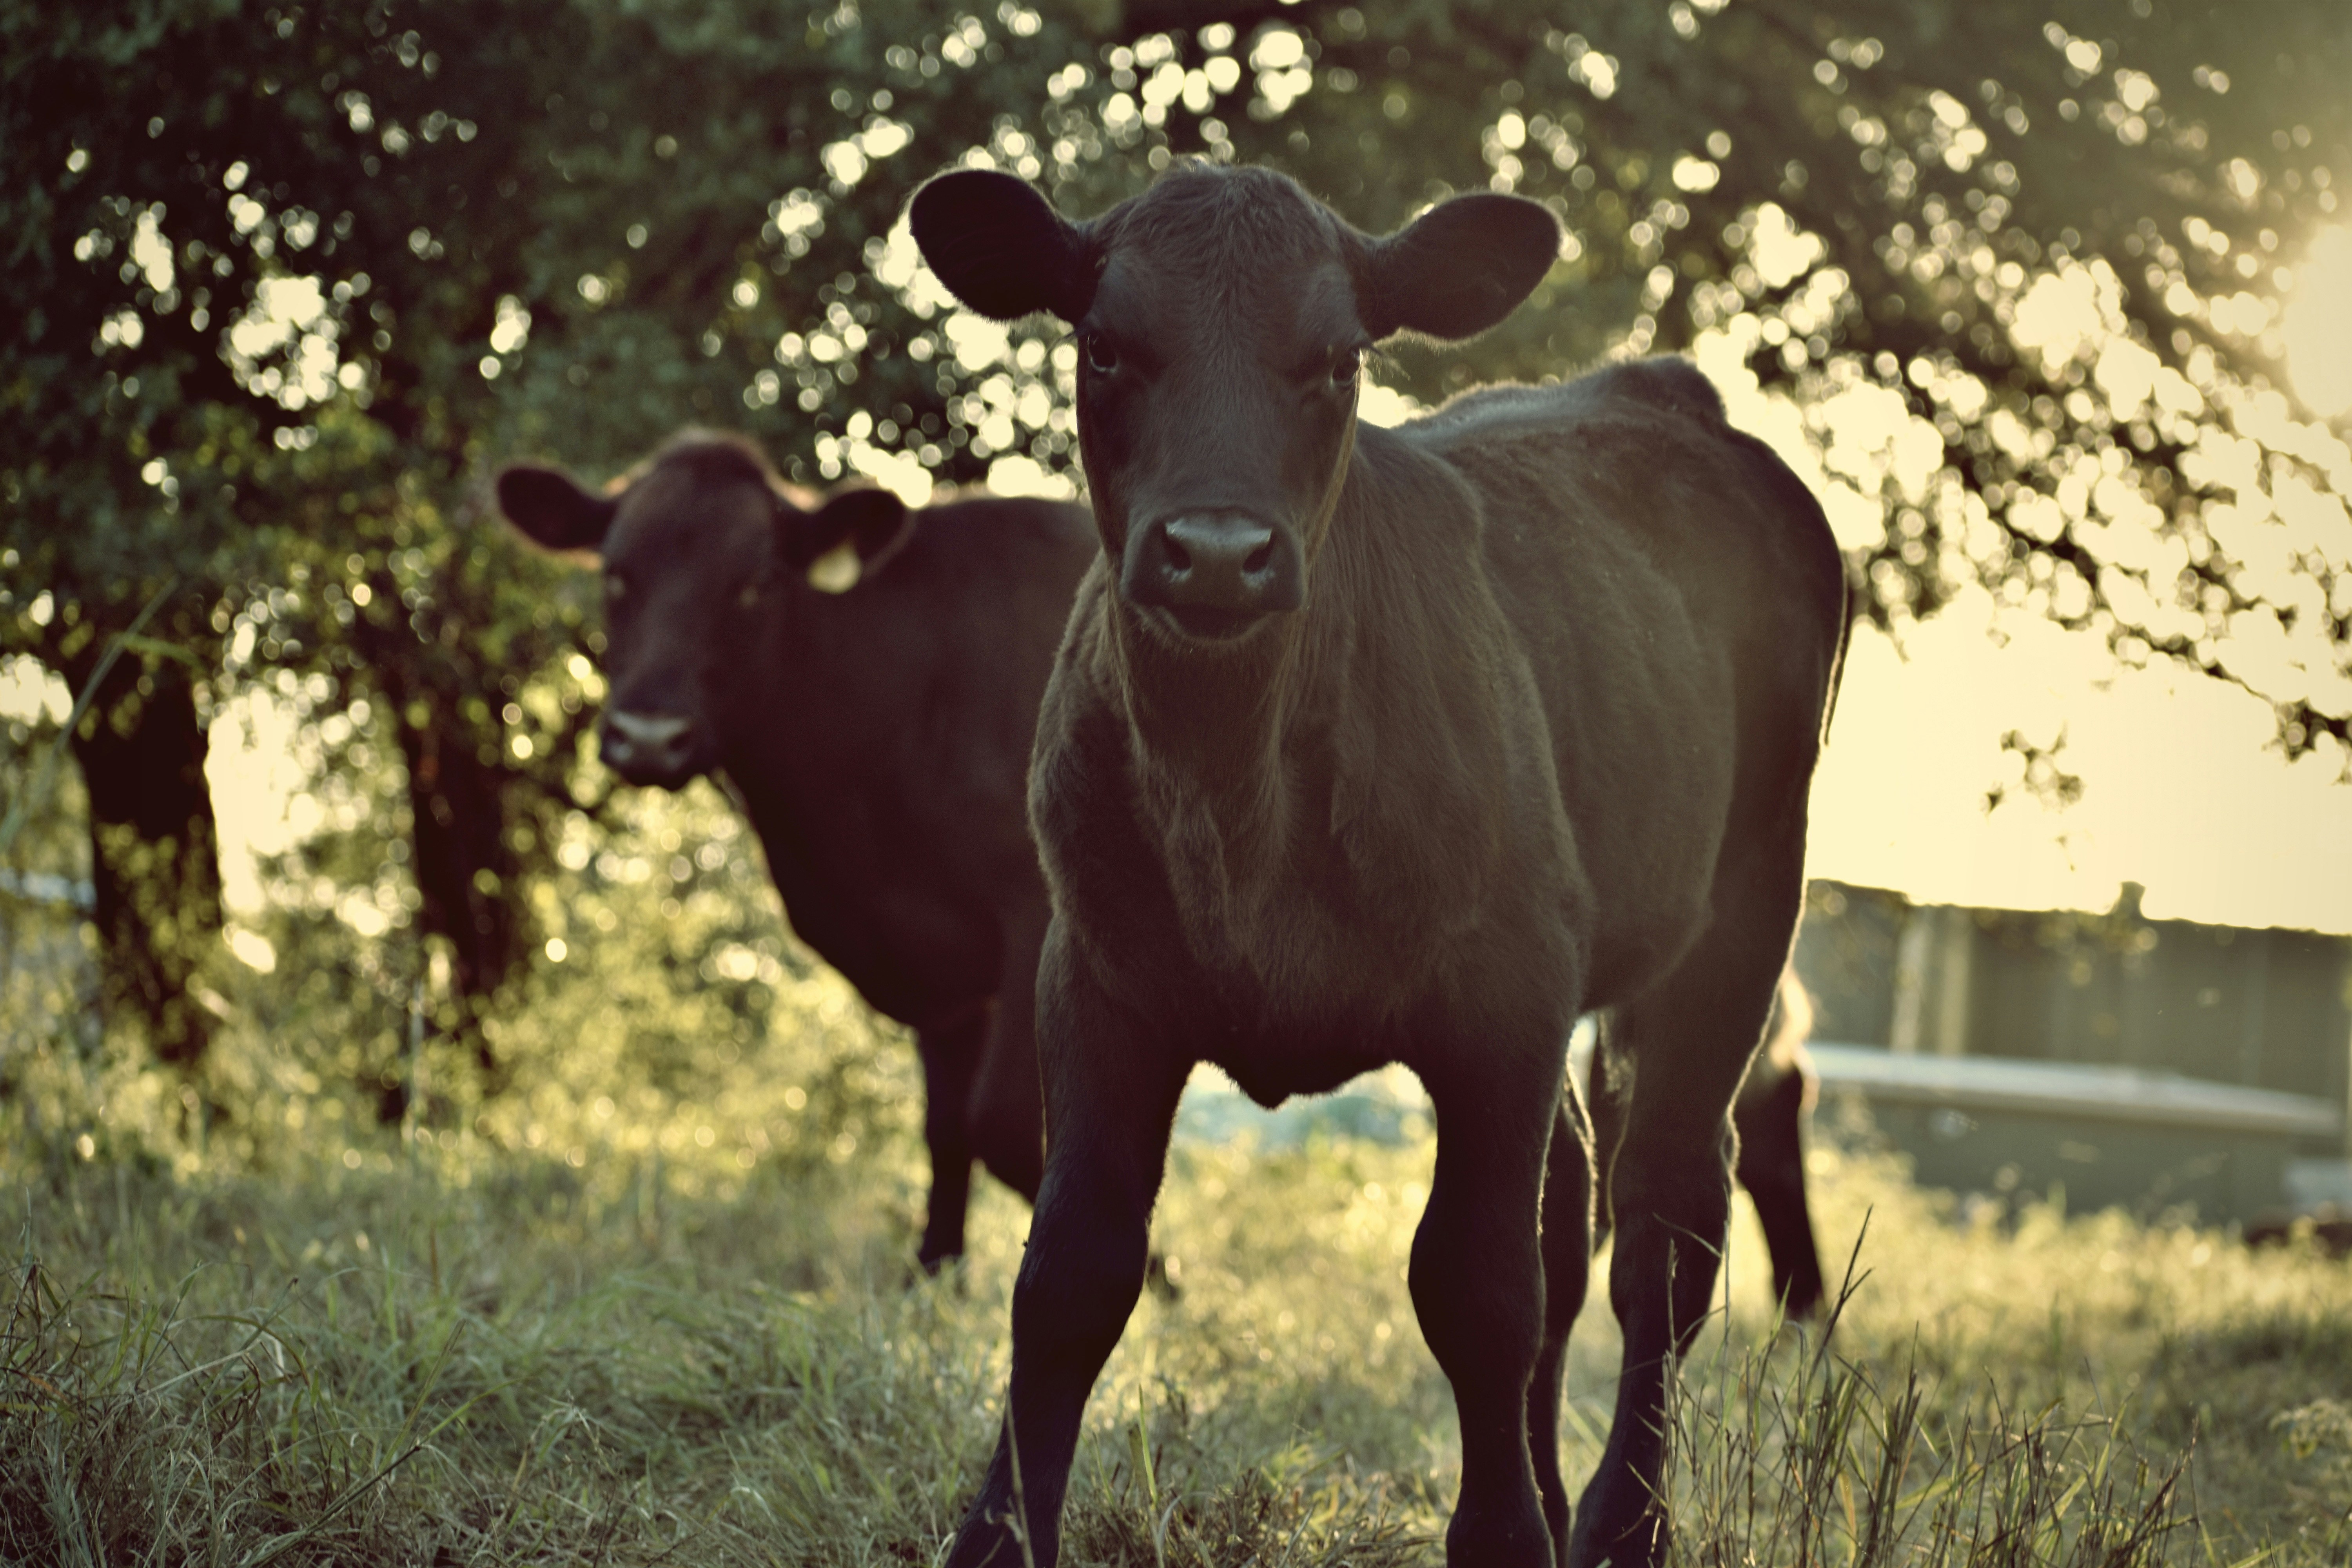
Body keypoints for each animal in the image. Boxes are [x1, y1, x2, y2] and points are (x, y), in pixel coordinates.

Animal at [495, 431, 1093, 1272]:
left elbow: (1008, 1126)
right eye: (616, 574)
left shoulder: (1035, 917)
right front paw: (931, 1279)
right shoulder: (943, 970)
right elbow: (948, 1132)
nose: (647, 736)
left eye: (758, 582)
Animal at [908, 161, 1848, 1568]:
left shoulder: (1500, 995)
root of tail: (1659, 390)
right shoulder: (1096, 976)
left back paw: (1619, 1522)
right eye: (1104, 345)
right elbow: (1070, 1272)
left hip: (1737, 911)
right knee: (1573, 1209)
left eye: (1339, 358)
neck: (1236, 789)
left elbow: (1477, 1284)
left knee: (1662, 1227)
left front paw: (1505, 1537)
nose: (1218, 551)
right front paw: (998, 1535)